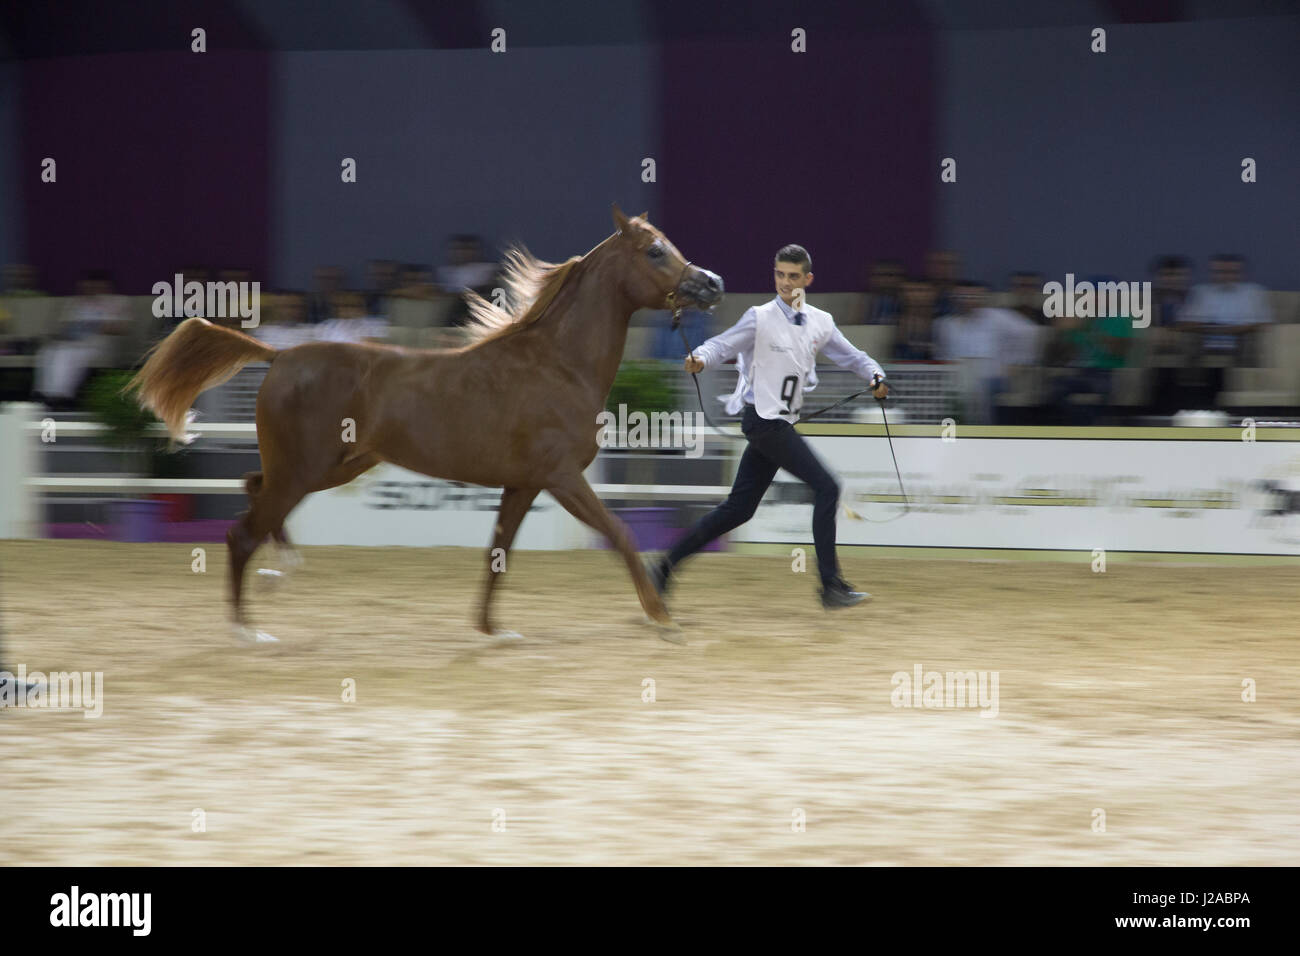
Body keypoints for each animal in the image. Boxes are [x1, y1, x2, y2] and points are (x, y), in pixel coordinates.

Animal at [128, 205, 724, 643]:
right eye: (654, 250)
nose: (713, 283)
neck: (556, 364)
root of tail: (279, 355)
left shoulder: (524, 484)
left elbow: (498, 554)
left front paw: (492, 629)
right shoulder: (562, 478)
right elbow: (621, 534)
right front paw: (663, 618)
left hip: (332, 466)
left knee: (252, 490)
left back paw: (282, 572)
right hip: (304, 470)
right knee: (241, 532)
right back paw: (247, 630)